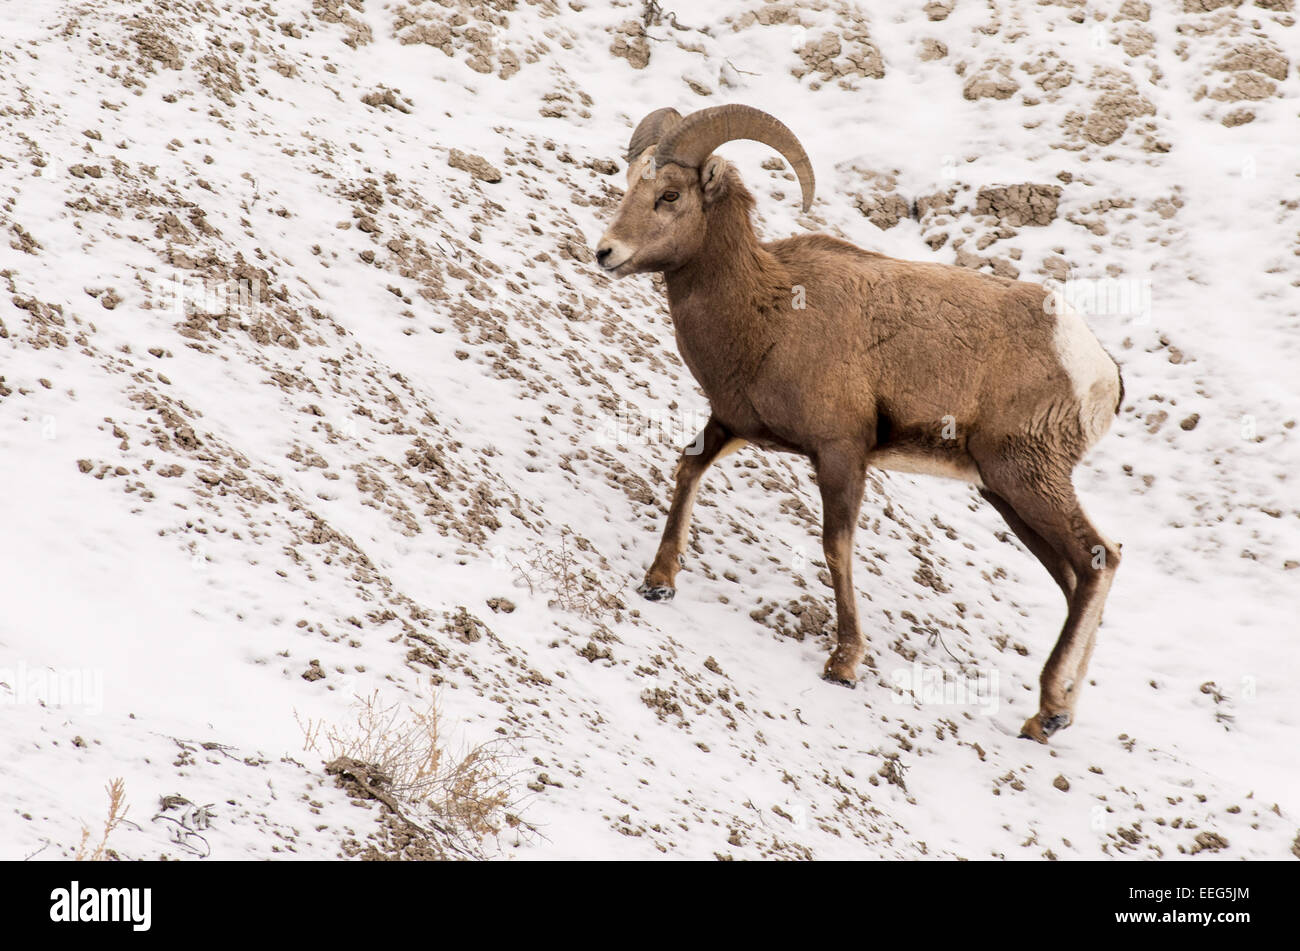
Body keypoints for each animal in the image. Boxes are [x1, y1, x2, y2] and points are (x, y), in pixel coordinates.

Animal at [594, 104, 1124, 743]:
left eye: (669, 195)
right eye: (630, 185)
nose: (605, 253)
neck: (769, 310)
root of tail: (1098, 369)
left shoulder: (841, 453)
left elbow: (836, 545)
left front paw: (843, 664)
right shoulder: (734, 425)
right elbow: (688, 469)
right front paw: (659, 581)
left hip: (1027, 478)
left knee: (1098, 560)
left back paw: (1048, 713)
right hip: (1006, 494)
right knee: (1075, 579)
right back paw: (1055, 712)